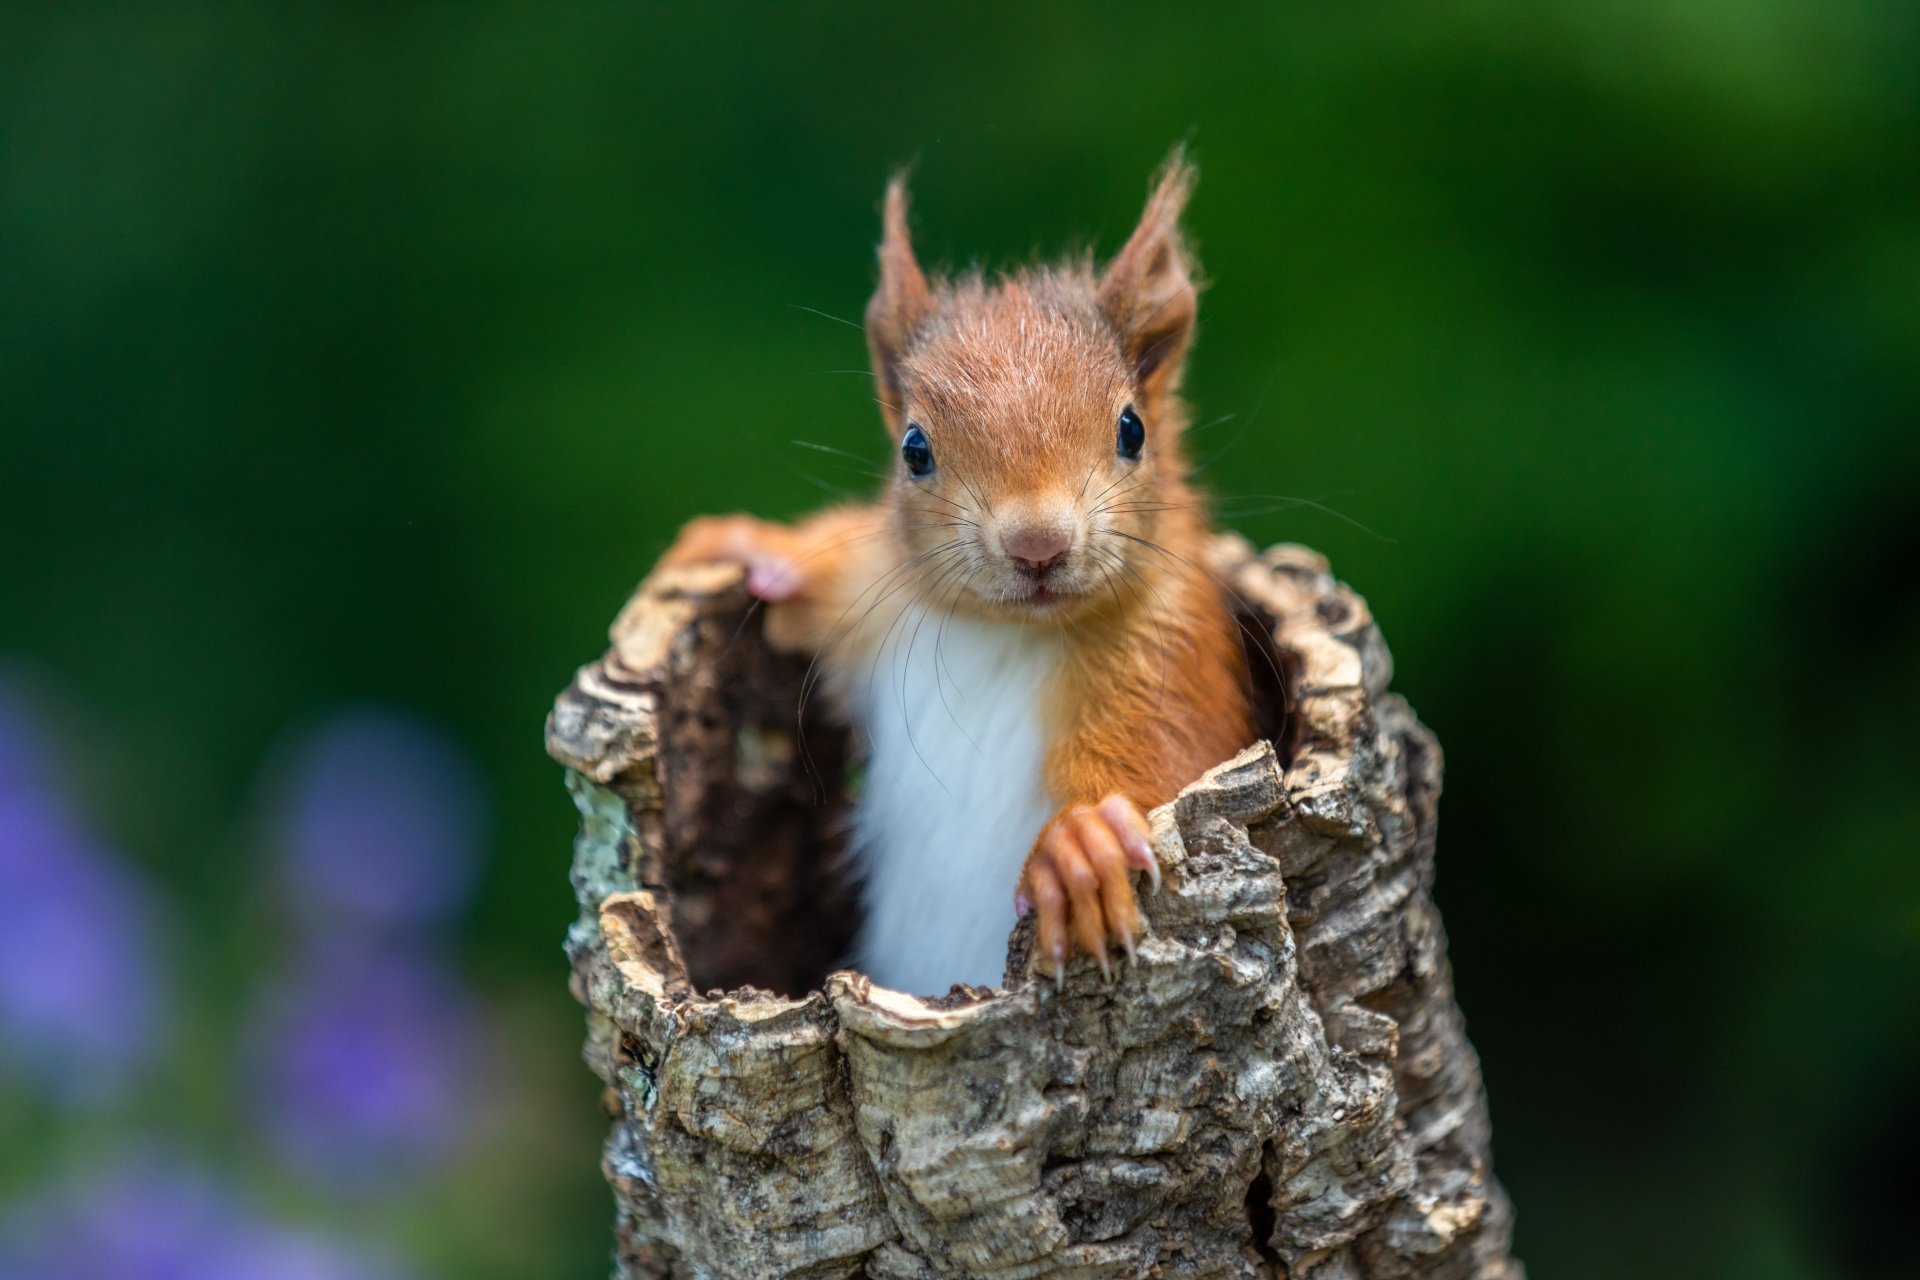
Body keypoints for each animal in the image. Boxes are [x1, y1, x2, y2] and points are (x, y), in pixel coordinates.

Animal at [663, 152, 1256, 995]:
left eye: (1132, 429)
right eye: (915, 449)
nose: (1038, 545)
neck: (1008, 634)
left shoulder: (1171, 653)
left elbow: (1171, 755)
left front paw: (1083, 843)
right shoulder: (872, 603)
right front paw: (749, 543)